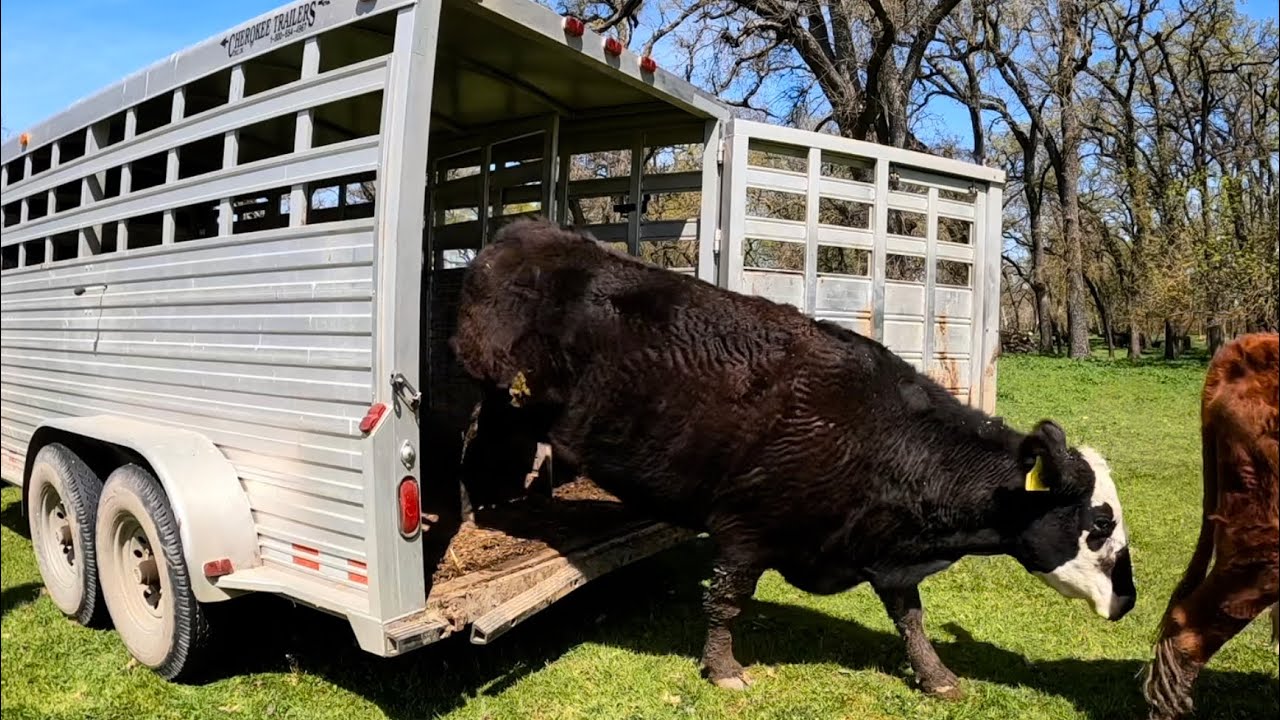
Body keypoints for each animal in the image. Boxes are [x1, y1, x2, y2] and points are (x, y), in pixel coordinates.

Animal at [450, 217, 1136, 697]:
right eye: (1099, 524)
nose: (1129, 600)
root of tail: (523, 232)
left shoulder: (884, 552)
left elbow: (910, 617)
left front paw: (937, 676)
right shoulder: (744, 529)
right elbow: (727, 600)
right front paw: (724, 669)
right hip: (492, 391)